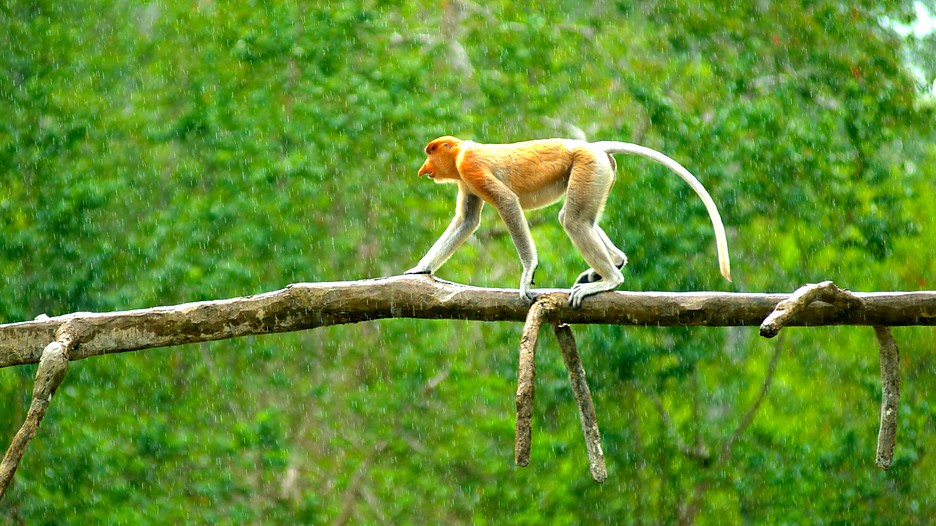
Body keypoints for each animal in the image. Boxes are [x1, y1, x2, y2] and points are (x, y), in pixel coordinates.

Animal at [404, 136, 731, 308]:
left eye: (430, 152)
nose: (422, 169)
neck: (461, 149)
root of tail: (593, 146)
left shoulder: (470, 167)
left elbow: (508, 203)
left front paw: (527, 275)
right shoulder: (466, 182)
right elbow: (467, 221)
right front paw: (419, 269)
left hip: (589, 168)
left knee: (573, 220)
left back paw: (610, 279)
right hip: (600, 174)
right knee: (582, 219)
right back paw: (613, 262)